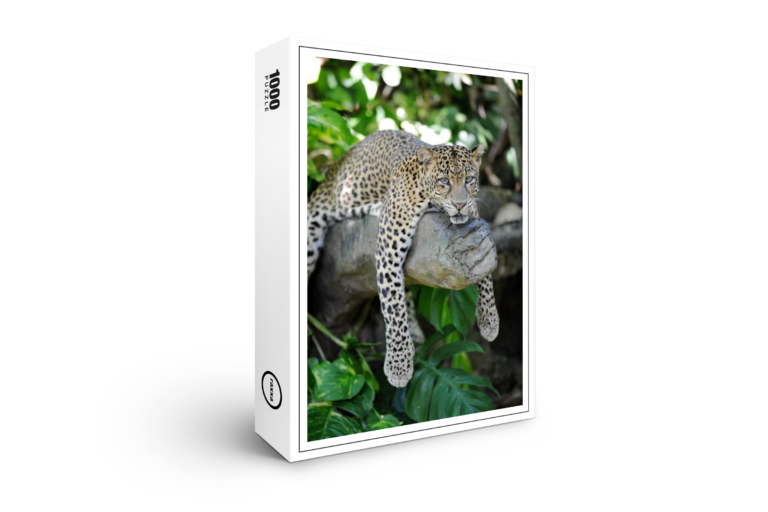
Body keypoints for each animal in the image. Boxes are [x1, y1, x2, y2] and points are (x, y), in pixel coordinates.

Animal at [307, 130, 499, 388]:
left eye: (469, 179)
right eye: (444, 181)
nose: (459, 204)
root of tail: (333, 165)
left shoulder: (476, 220)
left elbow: (485, 274)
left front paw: (489, 319)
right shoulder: (388, 249)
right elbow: (393, 306)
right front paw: (398, 366)